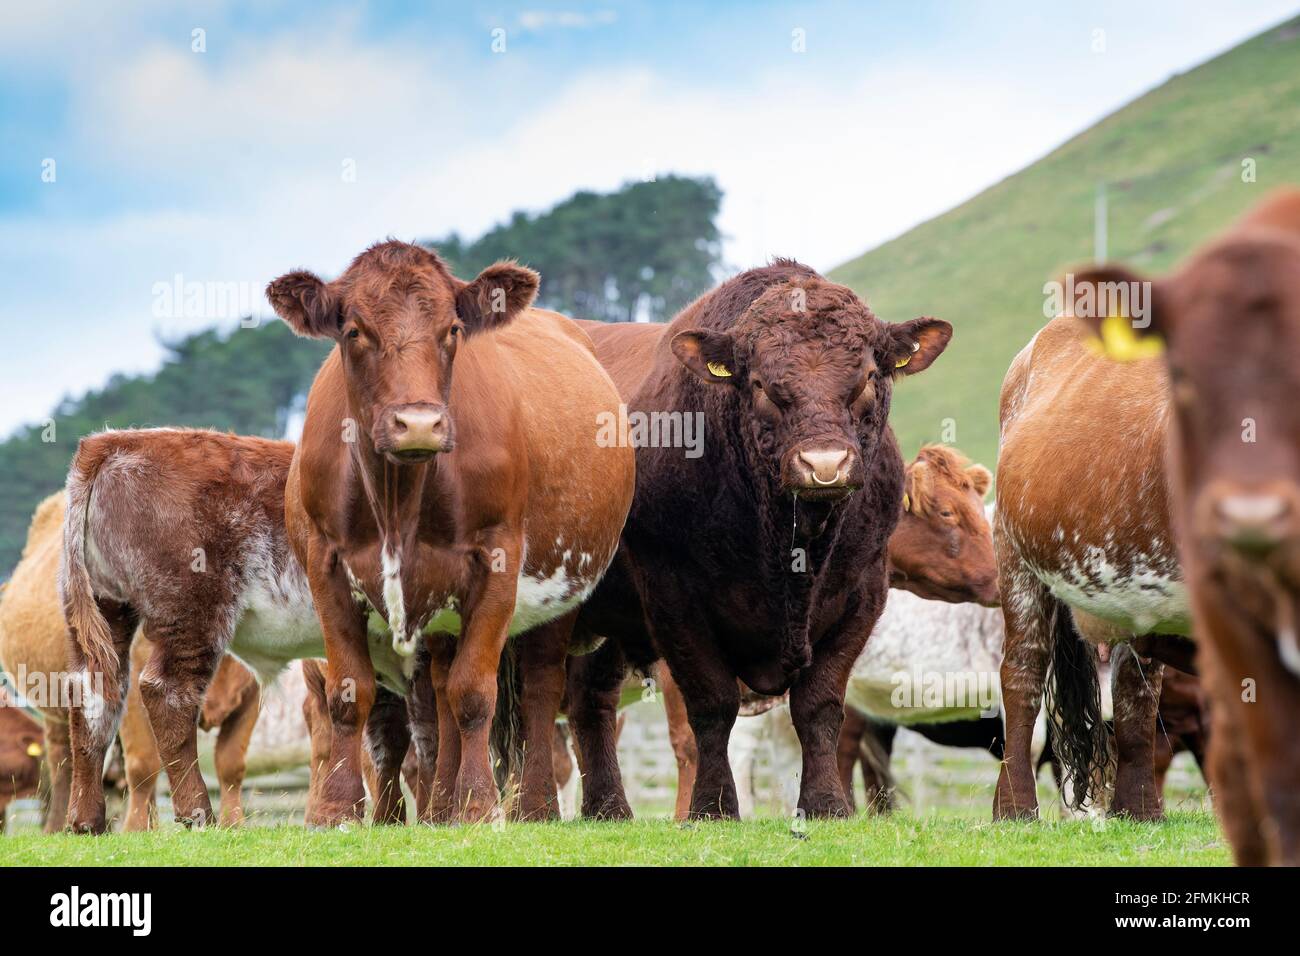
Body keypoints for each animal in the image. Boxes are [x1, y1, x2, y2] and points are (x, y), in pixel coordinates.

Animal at [269, 241, 635, 825]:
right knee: (438, 692)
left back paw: (533, 806)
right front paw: (336, 809)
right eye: (354, 330)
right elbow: (351, 692)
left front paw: (481, 804)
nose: (418, 423)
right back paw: (443, 804)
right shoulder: (324, 567)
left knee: (537, 687)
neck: (397, 498)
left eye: (453, 330)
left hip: (560, 586)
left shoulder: (498, 561)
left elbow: (474, 693)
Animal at [565, 261, 952, 819]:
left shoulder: (863, 592)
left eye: (867, 377)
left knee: (589, 699)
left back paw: (607, 808)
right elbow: (712, 705)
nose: (824, 464)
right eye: (762, 384)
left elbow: (819, 705)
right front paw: (712, 806)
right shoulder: (673, 595)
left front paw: (826, 804)